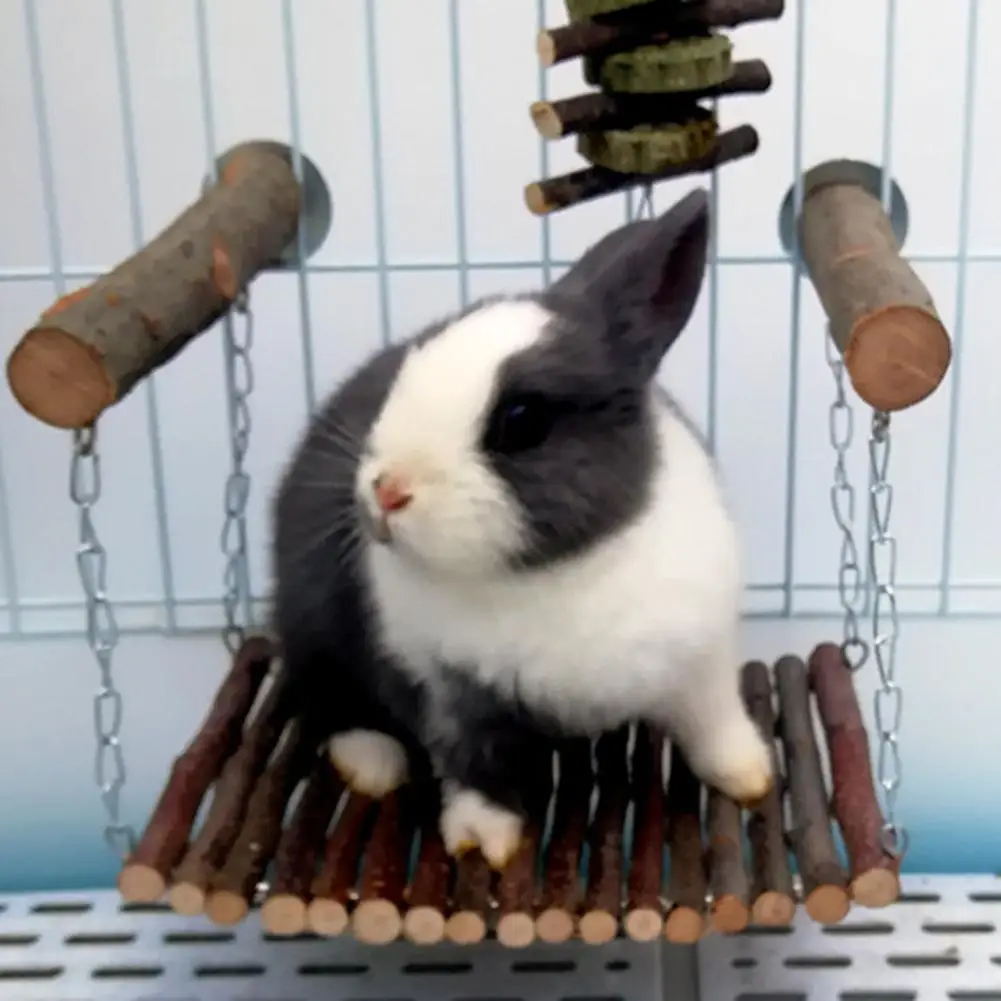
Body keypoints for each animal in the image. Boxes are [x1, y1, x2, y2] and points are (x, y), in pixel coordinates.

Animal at [270, 186, 774, 870]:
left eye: (522, 420)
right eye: (406, 372)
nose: (386, 490)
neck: (556, 571)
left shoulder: (702, 658)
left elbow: (714, 721)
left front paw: (750, 776)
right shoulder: (444, 690)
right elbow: (472, 766)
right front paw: (483, 842)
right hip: (311, 622)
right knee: (324, 695)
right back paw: (373, 763)